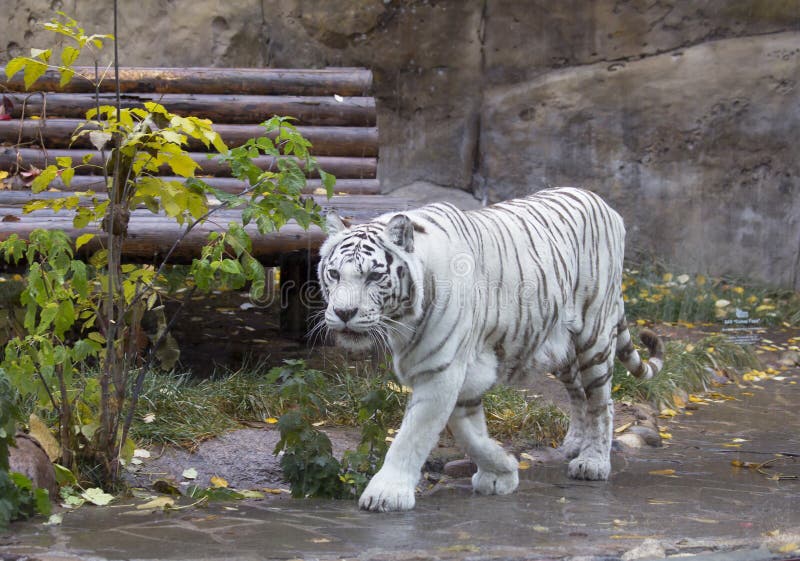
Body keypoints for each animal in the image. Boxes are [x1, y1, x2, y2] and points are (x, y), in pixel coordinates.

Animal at [317, 187, 664, 512]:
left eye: (374, 275)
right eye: (334, 273)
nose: (344, 313)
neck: (403, 318)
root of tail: (602, 202)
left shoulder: (440, 370)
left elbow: (413, 435)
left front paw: (386, 493)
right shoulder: (459, 374)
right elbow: (468, 433)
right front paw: (502, 472)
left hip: (595, 333)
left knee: (601, 402)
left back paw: (593, 461)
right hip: (559, 347)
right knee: (578, 394)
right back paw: (573, 445)